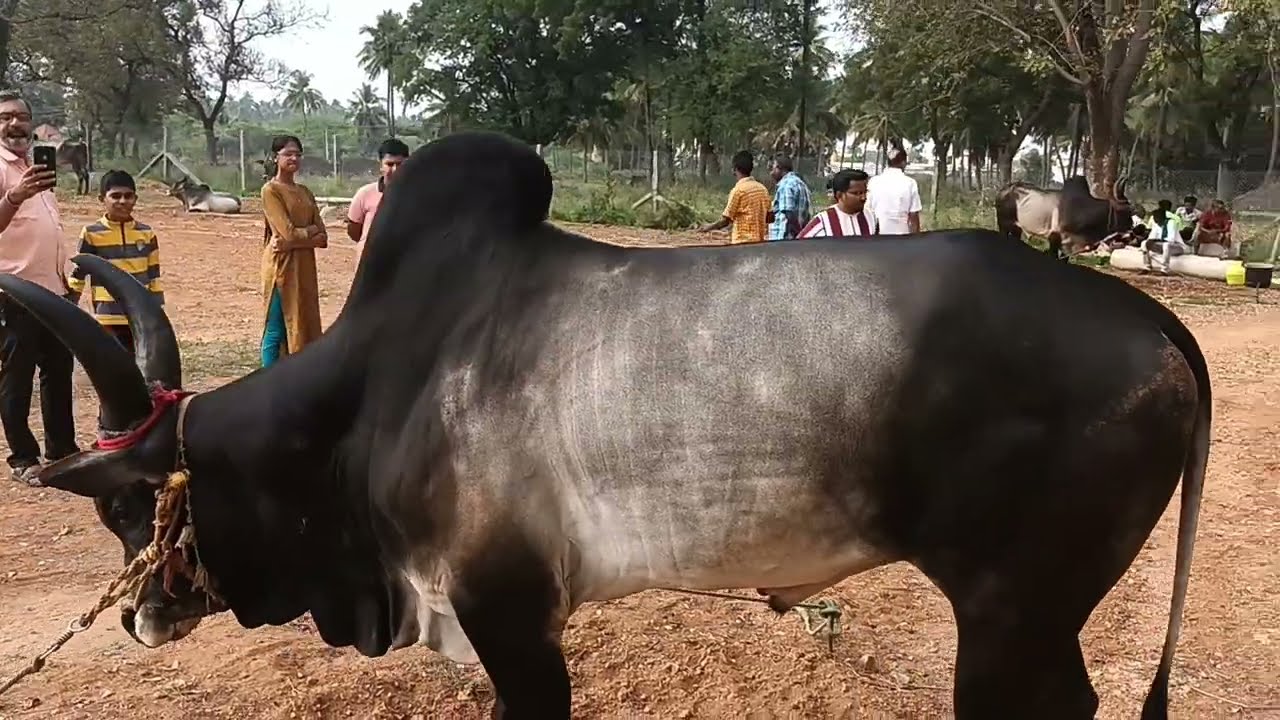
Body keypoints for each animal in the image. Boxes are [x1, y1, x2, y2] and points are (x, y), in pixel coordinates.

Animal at [996, 175, 1142, 259]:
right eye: (1126, 213)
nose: (1136, 230)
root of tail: (1003, 189)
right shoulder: (1055, 239)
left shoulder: (1068, 247)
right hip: (1003, 224)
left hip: (1017, 228)